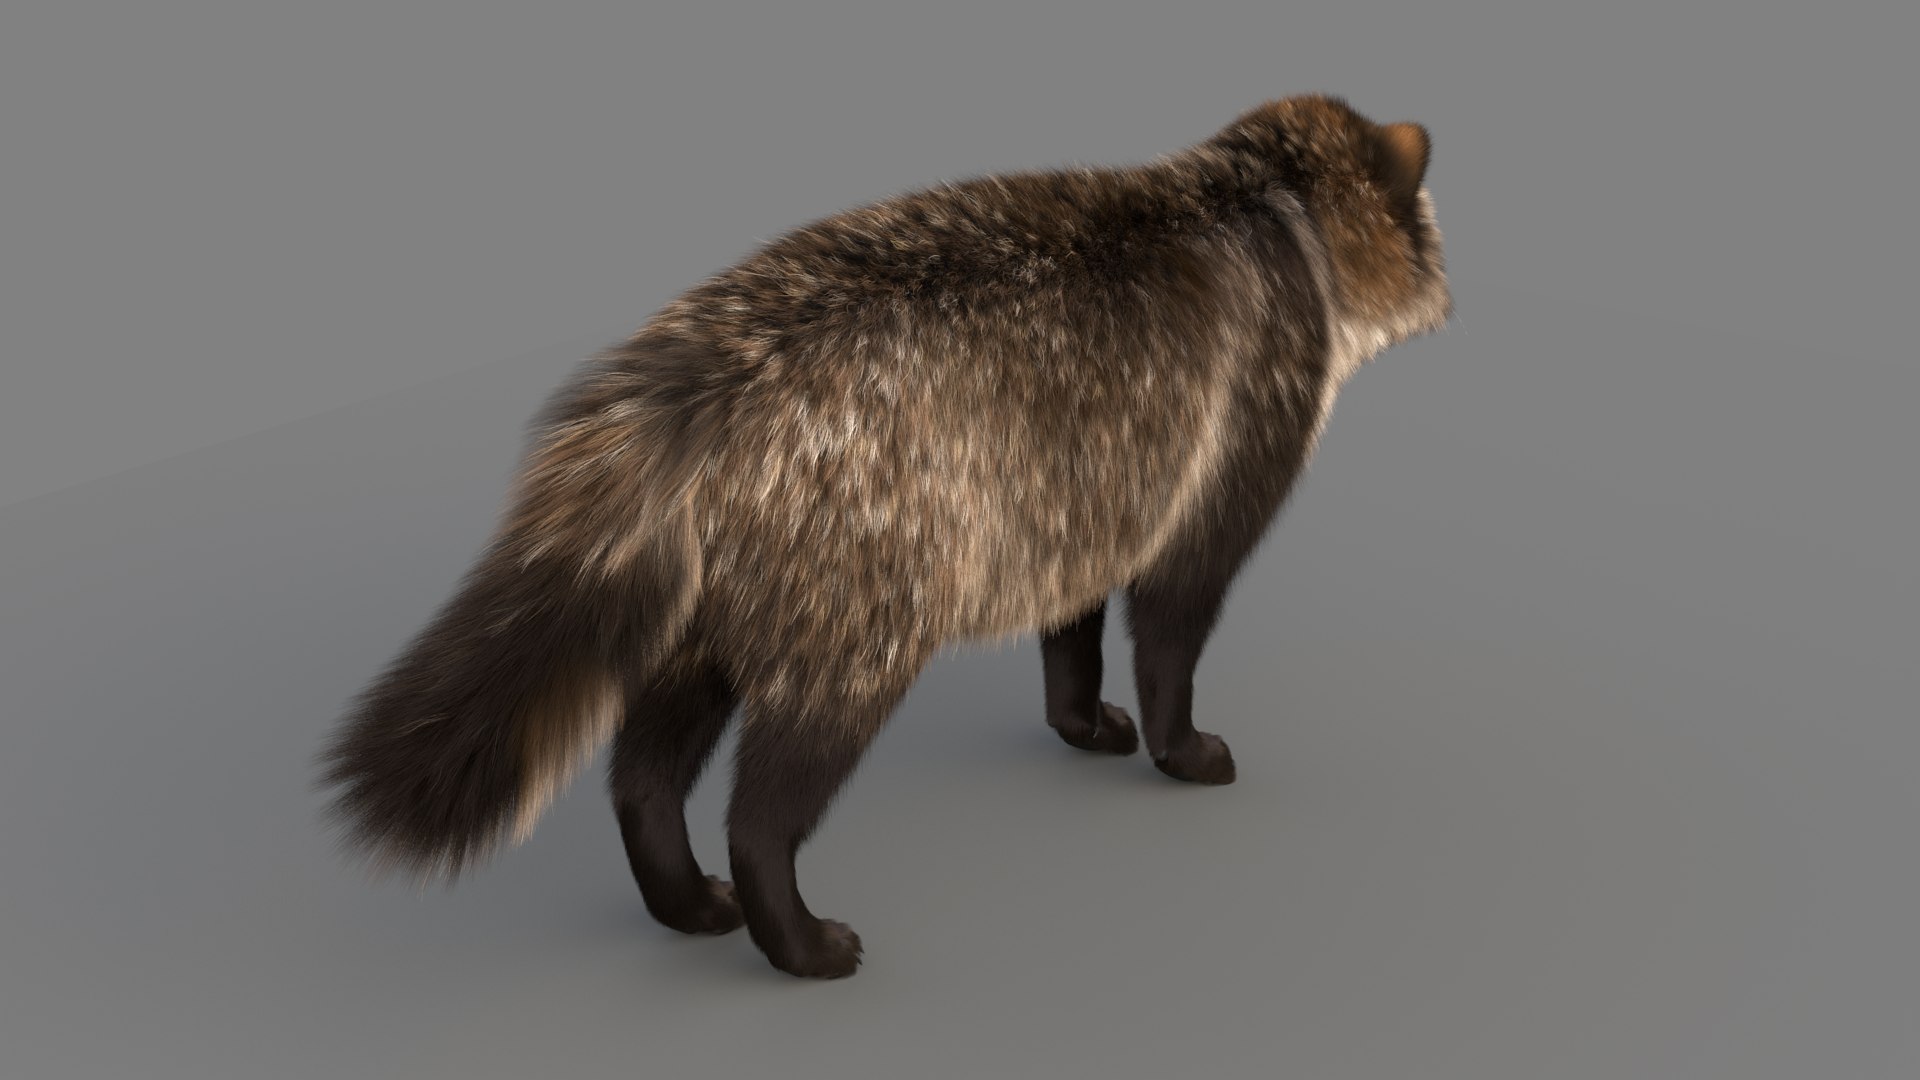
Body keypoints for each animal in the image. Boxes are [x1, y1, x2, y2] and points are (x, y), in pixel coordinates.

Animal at [320, 94, 1451, 979]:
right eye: (1423, 213)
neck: (1266, 200)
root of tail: (693, 391)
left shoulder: (1087, 493)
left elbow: (1072, 627)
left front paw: (1081, 718)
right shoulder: (1221, 464)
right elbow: (1171, 629)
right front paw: (1181, 744)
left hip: (704, 611)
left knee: (644, 774)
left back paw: (682, 895)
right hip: (859, 593)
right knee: (765, 801)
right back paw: (794, 936)